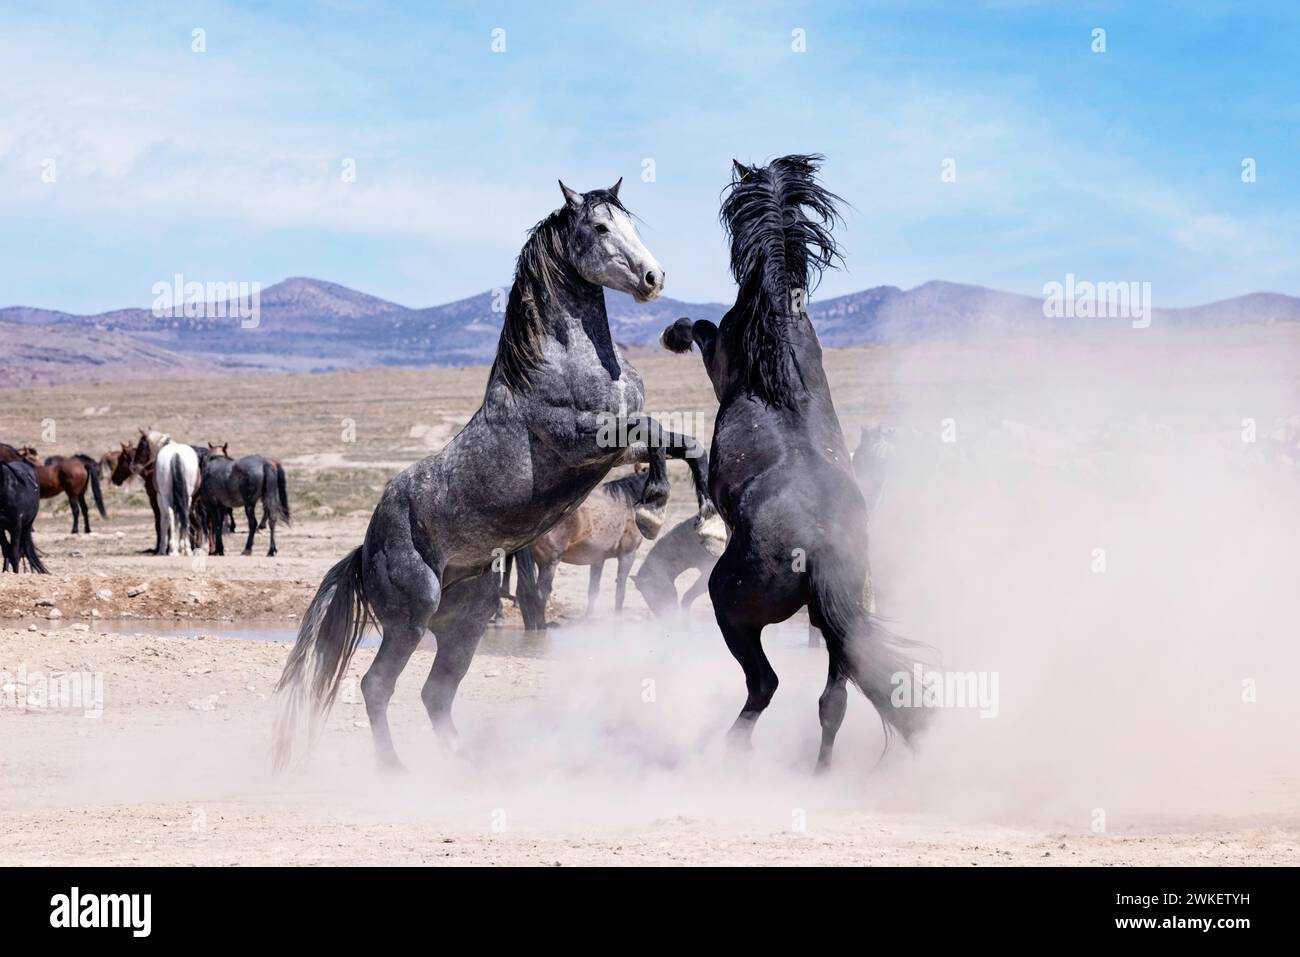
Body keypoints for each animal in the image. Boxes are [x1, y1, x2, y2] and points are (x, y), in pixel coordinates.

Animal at [275, 176, 724, 772]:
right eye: (599, 226)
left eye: (630, 223)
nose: (655, 279)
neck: (565, 362)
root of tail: (365, 548)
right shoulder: (588, 440)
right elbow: (655, 437)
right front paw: (655, 508)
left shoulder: (613, 446)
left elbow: (682, 442)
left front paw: (701, 520)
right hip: (410, 618)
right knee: (378, 686)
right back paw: (395, 770)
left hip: (466, 619)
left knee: (436, 693)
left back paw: (469, 767)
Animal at [661, 155, 930, 772]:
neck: (779, 325)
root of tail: (824, 547)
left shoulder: (720, 354)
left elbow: (702, 328)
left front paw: (672, 332)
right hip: (839, 627)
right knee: (834, 700)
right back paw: (819, 773)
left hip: (732, 605)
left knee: (764, 684)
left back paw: (730, 750)